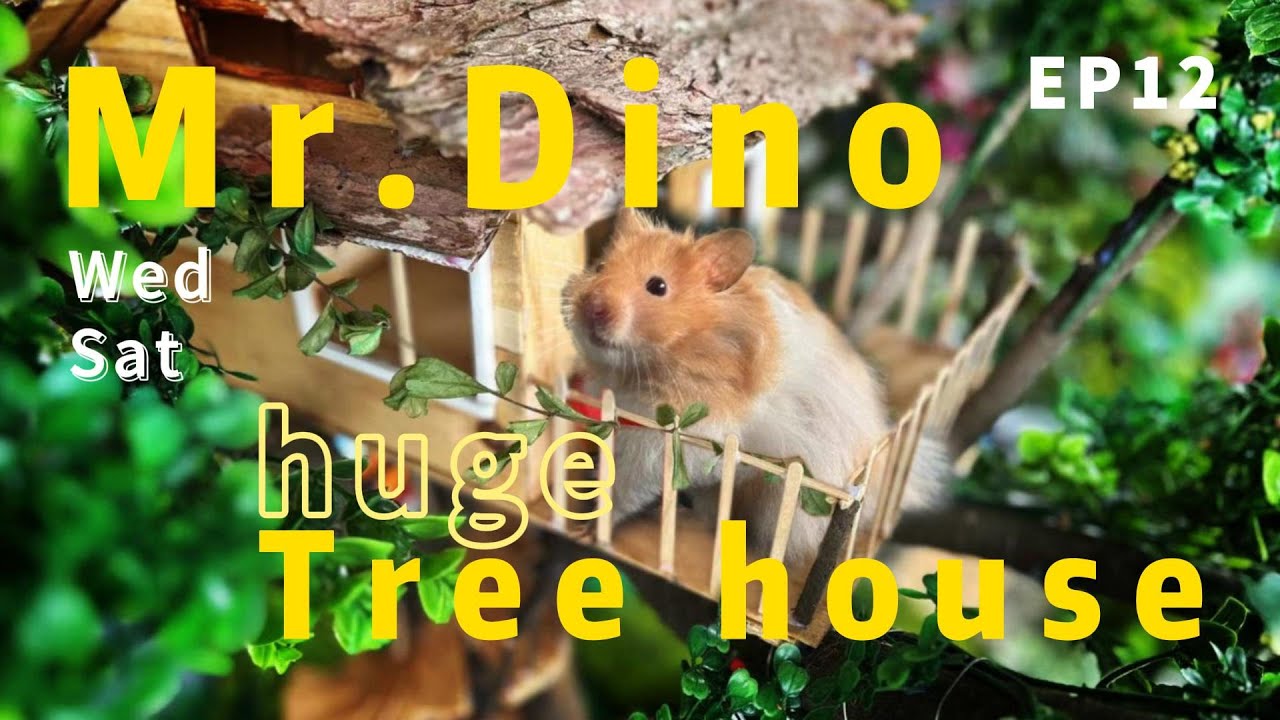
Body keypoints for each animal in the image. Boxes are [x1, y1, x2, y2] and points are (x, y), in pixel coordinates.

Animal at [562, 209, 946, 574]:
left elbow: (625, 489)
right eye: (599, 267)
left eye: (657, 286)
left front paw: (587, 531)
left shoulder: (665, 447)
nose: (593, 307)